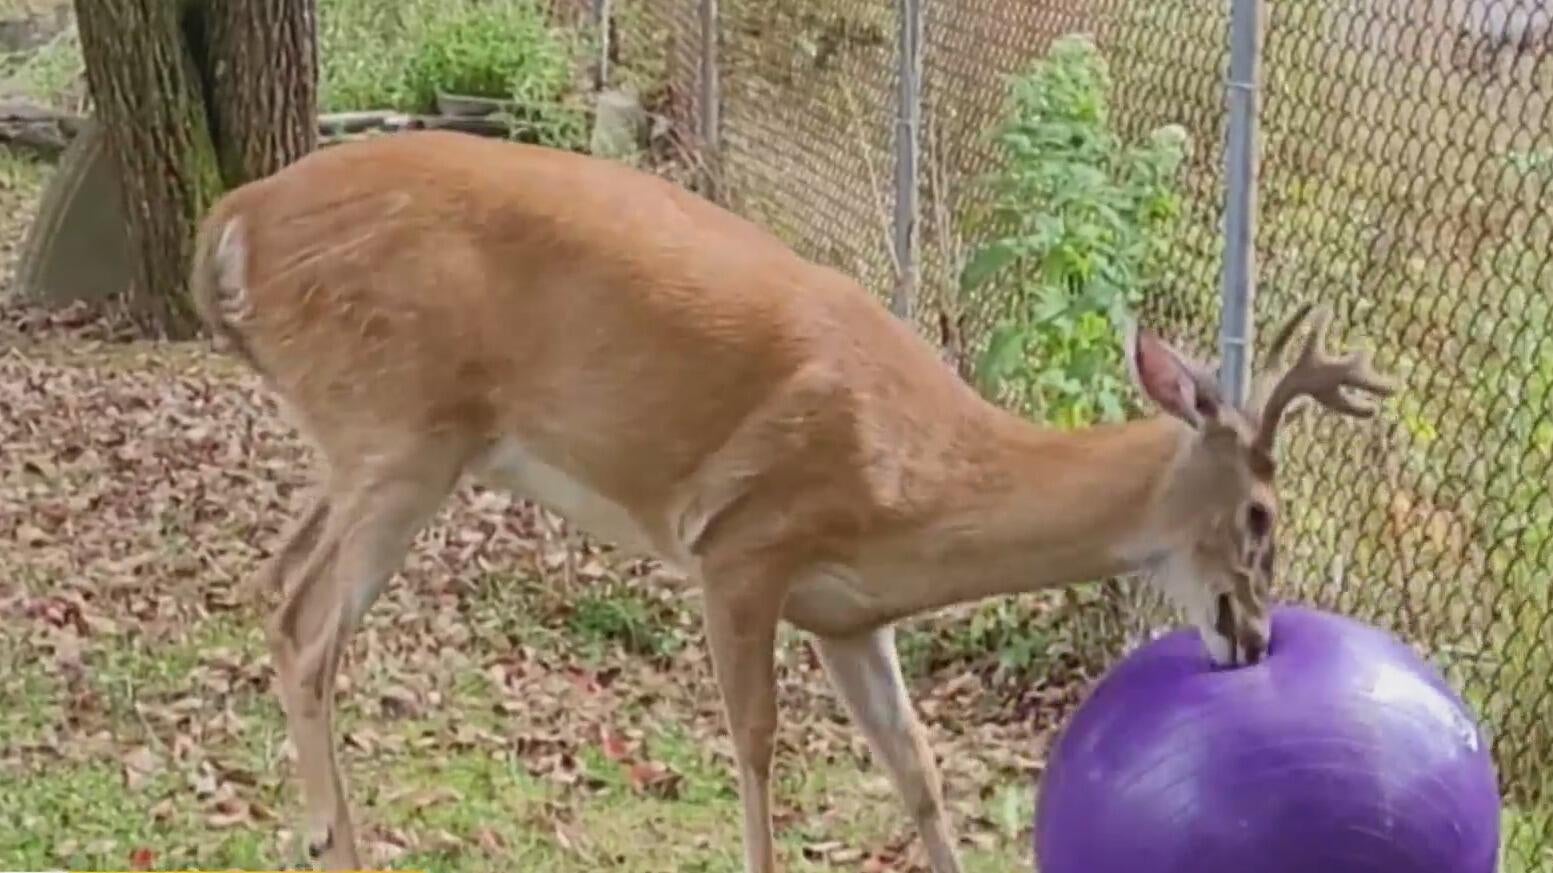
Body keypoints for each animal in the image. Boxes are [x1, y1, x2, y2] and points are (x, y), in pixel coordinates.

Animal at [189, 130, 1397, 873]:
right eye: (1261, 519)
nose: (1255, 639)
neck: (925, 473)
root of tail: (233, 217)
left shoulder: (849, 614)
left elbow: (916, 767)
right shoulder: (742, 546)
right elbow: (757, 742)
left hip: (363, 442)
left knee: (272, 581)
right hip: (402, 423)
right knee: (306, 624)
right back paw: (339, 845)